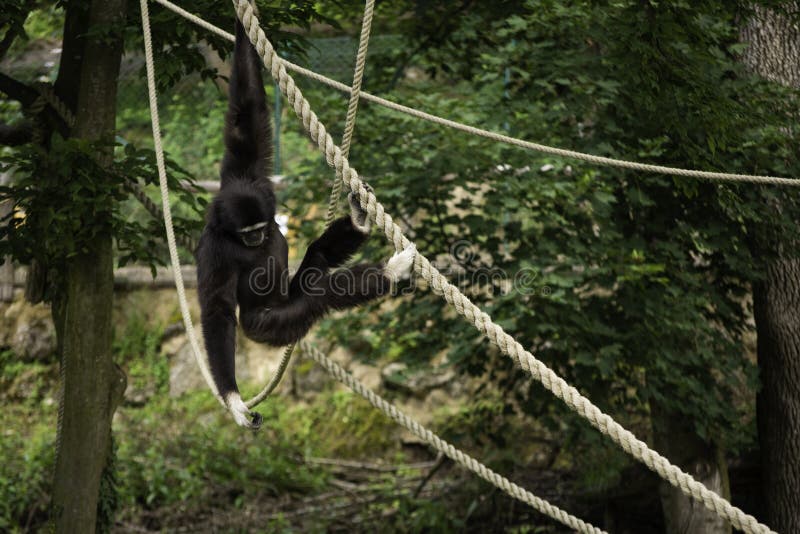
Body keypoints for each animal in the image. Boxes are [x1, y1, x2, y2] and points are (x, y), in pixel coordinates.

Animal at [195, 20, 415, 428]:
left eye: (261, 228)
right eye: (248, 234)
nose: (261, 236)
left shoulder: (250, 178)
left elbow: (246, 116)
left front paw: (244, 25)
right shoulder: (212, 248)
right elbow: (216, 309)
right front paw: (233, 399)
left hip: (290, 290)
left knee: (316, 260)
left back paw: (359, 223)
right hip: (268, 325)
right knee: (318, 296)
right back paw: (391, 271)